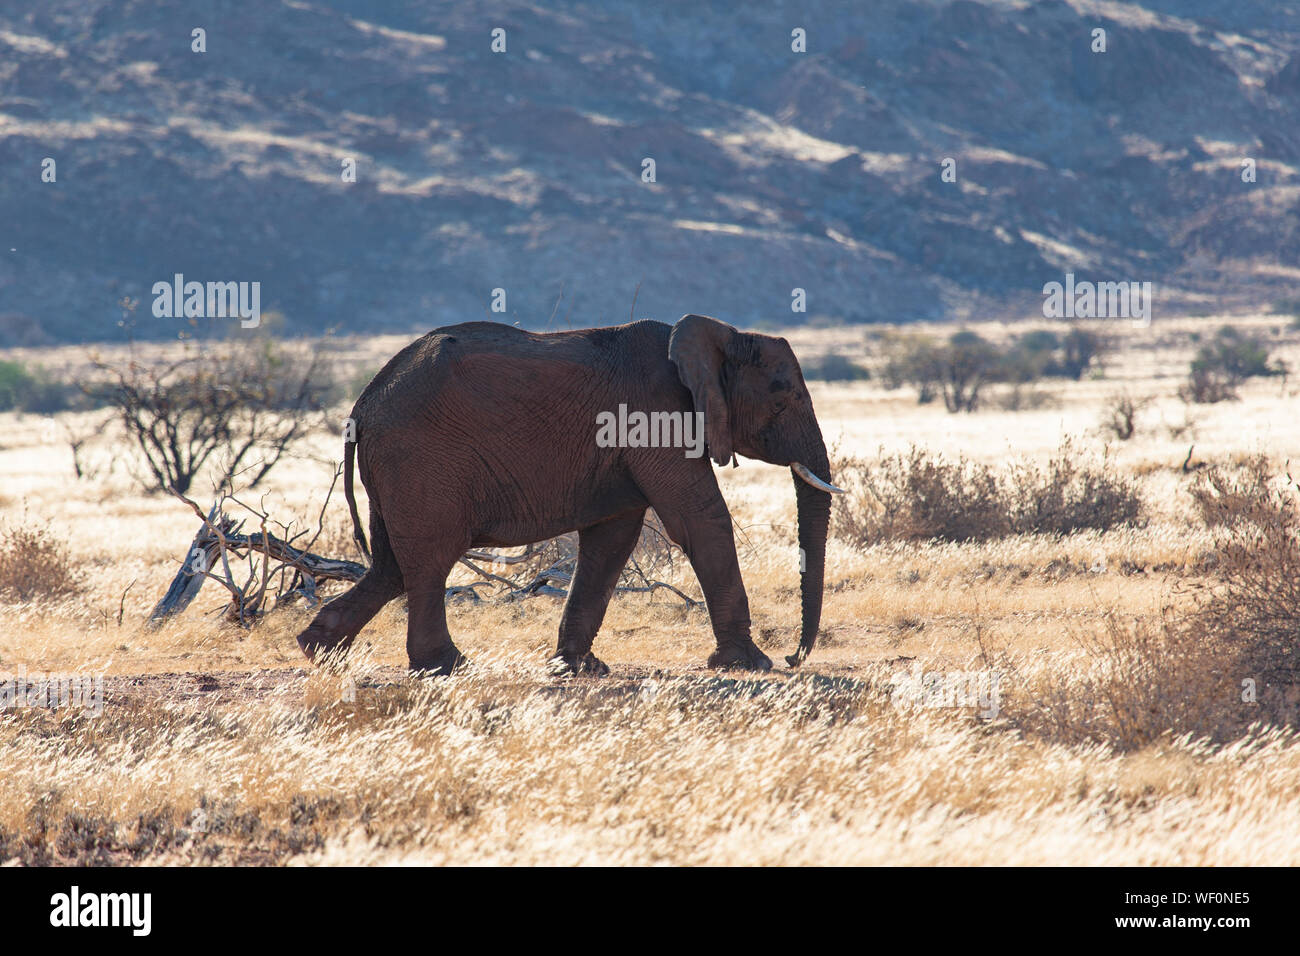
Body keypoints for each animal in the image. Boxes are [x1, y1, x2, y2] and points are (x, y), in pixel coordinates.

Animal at [295, 313, 844, 676]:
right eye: (783, 400)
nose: (795, 656)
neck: (723, 336)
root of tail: (361, 404)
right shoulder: (654, 415)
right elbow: (700, 519)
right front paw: (750, 664)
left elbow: (611, 540)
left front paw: (579, 667)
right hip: (420, 462)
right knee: (429, 559)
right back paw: (445, 667)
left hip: (396, 471)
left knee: (391, 564)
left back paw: (317, 649)